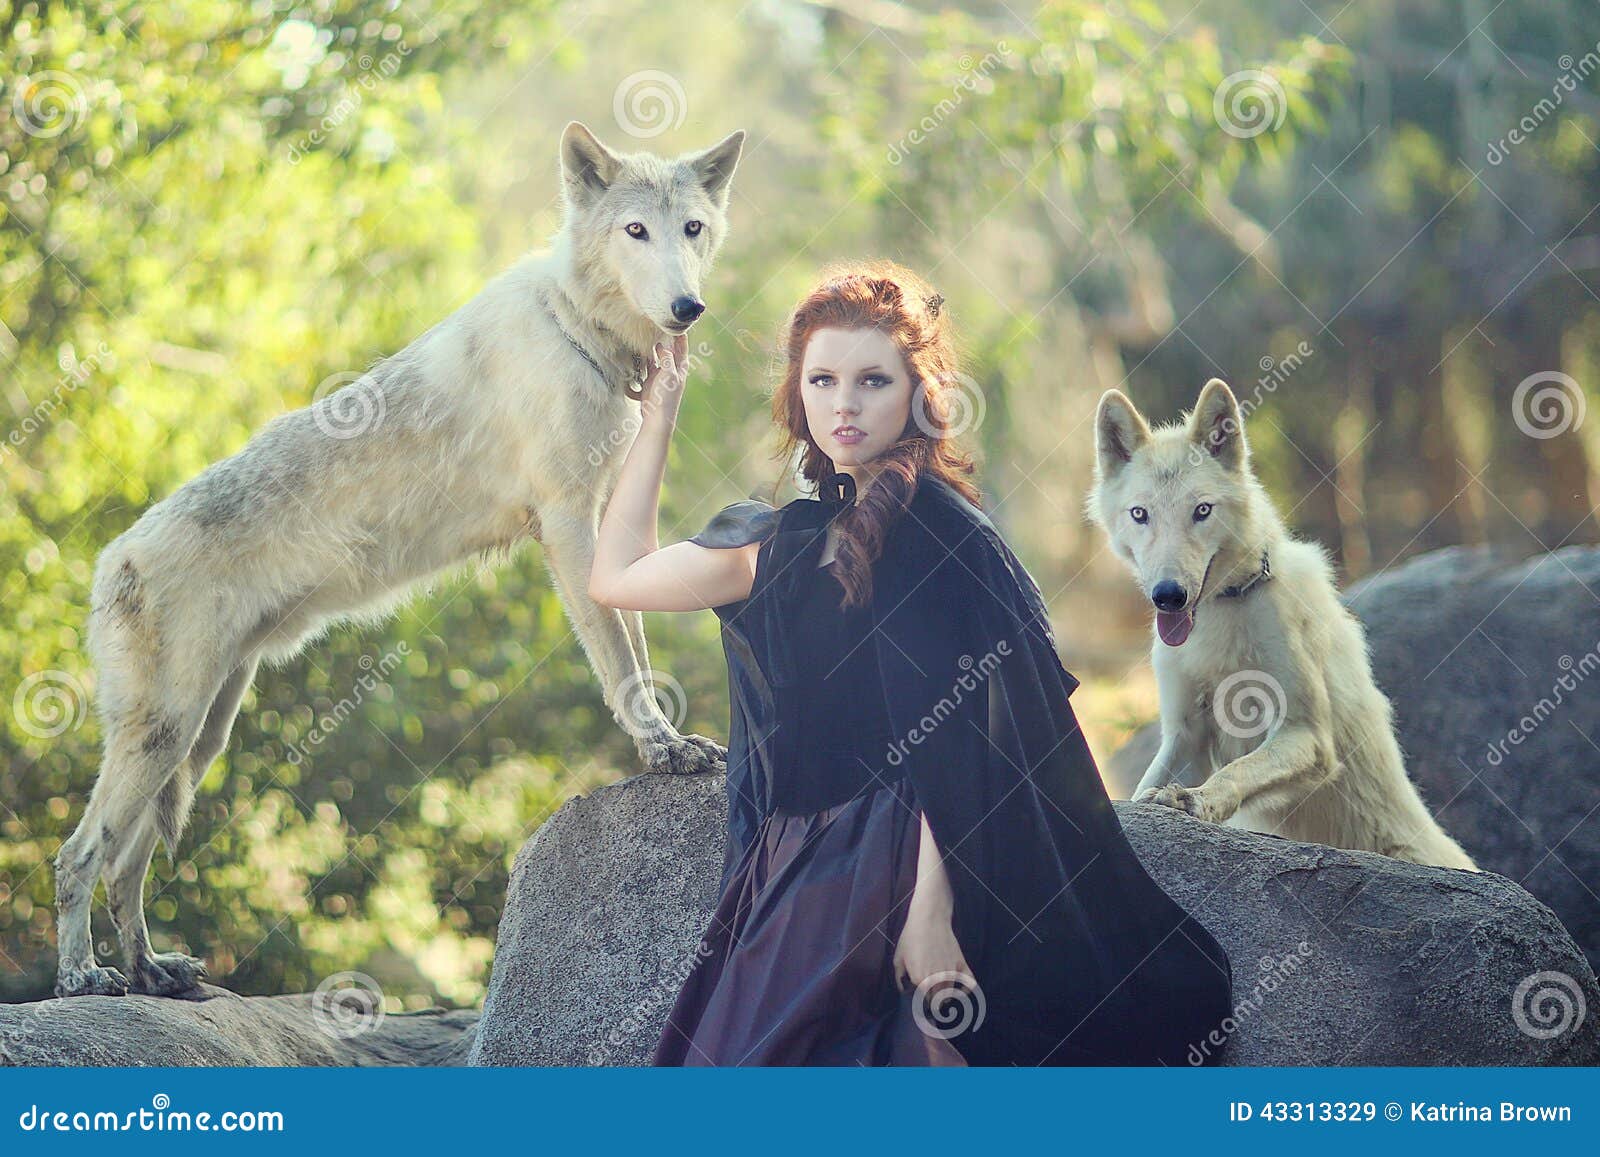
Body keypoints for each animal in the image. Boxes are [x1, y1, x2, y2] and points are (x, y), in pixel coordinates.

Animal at [52, 121, 746, 998]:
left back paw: (152, 971)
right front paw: (661, 750)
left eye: (691, 229)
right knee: (78, 858)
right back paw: (84, 977)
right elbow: (621, 661)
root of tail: (111, 559)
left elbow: (641, 652)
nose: (688, 307)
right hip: (167, 735)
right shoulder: (567, 525)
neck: (575, 329)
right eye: (635, 231)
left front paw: (671, 743)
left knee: (126, 864)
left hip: (200, 738)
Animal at [1087, 379, 1478, 872]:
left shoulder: (1305, 732)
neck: (1226, 608)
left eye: (1202, 511)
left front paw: (1198, 802)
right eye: (1140, 514)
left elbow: (1238, 770)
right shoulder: (1186, 733)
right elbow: (1144, 790)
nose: (1168, 595)